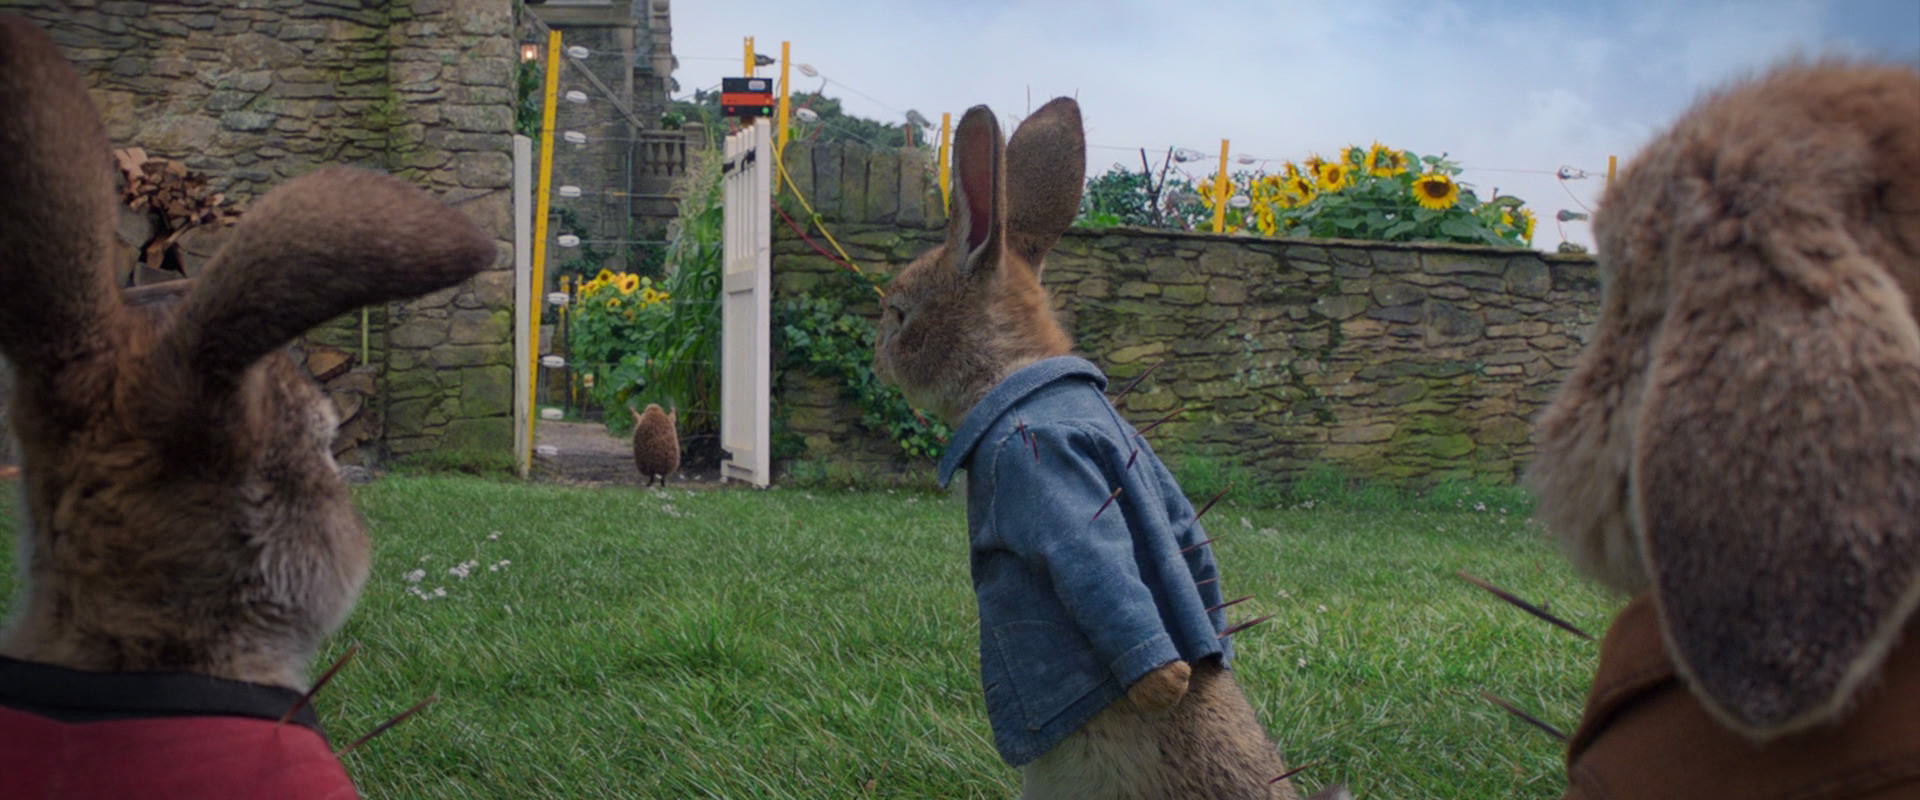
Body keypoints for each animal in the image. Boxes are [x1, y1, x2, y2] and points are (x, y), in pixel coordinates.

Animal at [873, 96, 1326, 800]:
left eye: (899, 314)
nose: (876, 357)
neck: (1015, 375)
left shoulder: (1048, 469)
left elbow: (1098, 566)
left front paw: (1164, 687)